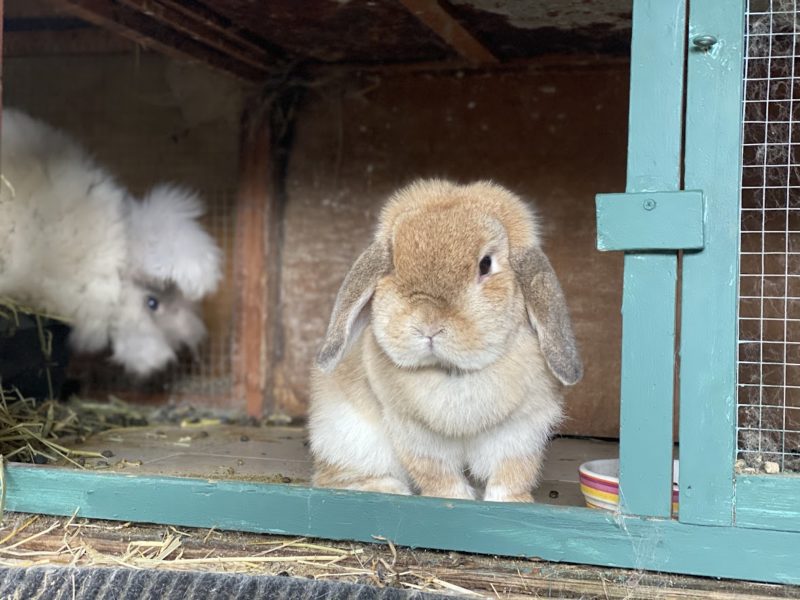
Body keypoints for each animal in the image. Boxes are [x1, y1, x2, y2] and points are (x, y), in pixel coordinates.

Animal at [309, 178, 582, 502]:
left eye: (485, 264)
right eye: (394, 265)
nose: (428, 325)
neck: (451, 370)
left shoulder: (520, 432)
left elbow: (511, 474)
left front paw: (509, 502)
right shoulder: (416, 436)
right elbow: (438, 476)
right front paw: (455, 499)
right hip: (347, 438)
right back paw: (386, 488)